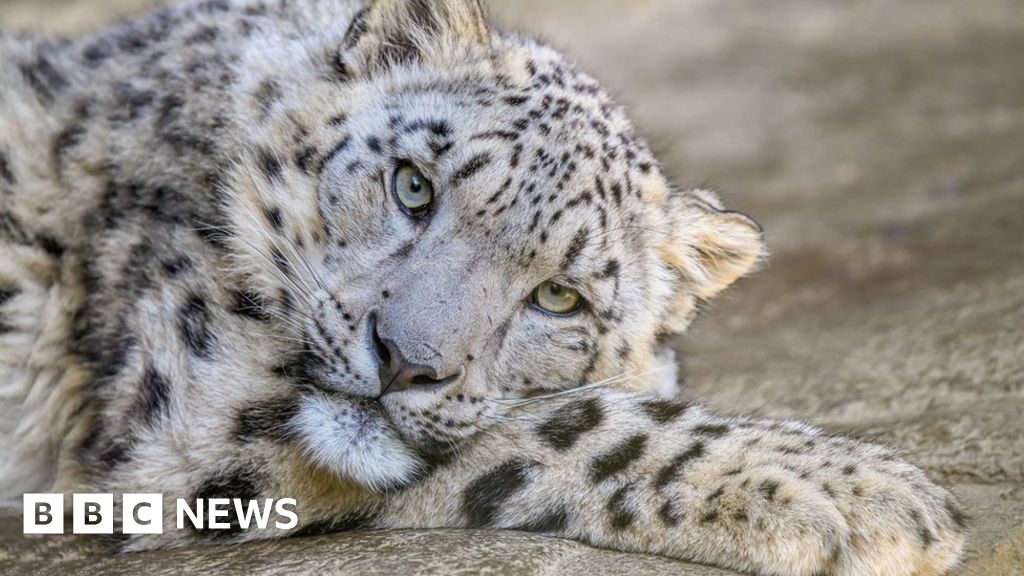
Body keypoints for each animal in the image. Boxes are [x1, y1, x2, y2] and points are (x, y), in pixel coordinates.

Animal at [0, 0, 967, 574]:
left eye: (559, 297)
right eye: (412, 184)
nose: (403, 360)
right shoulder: (189, 405)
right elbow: (577, 422)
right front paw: (857, 495)